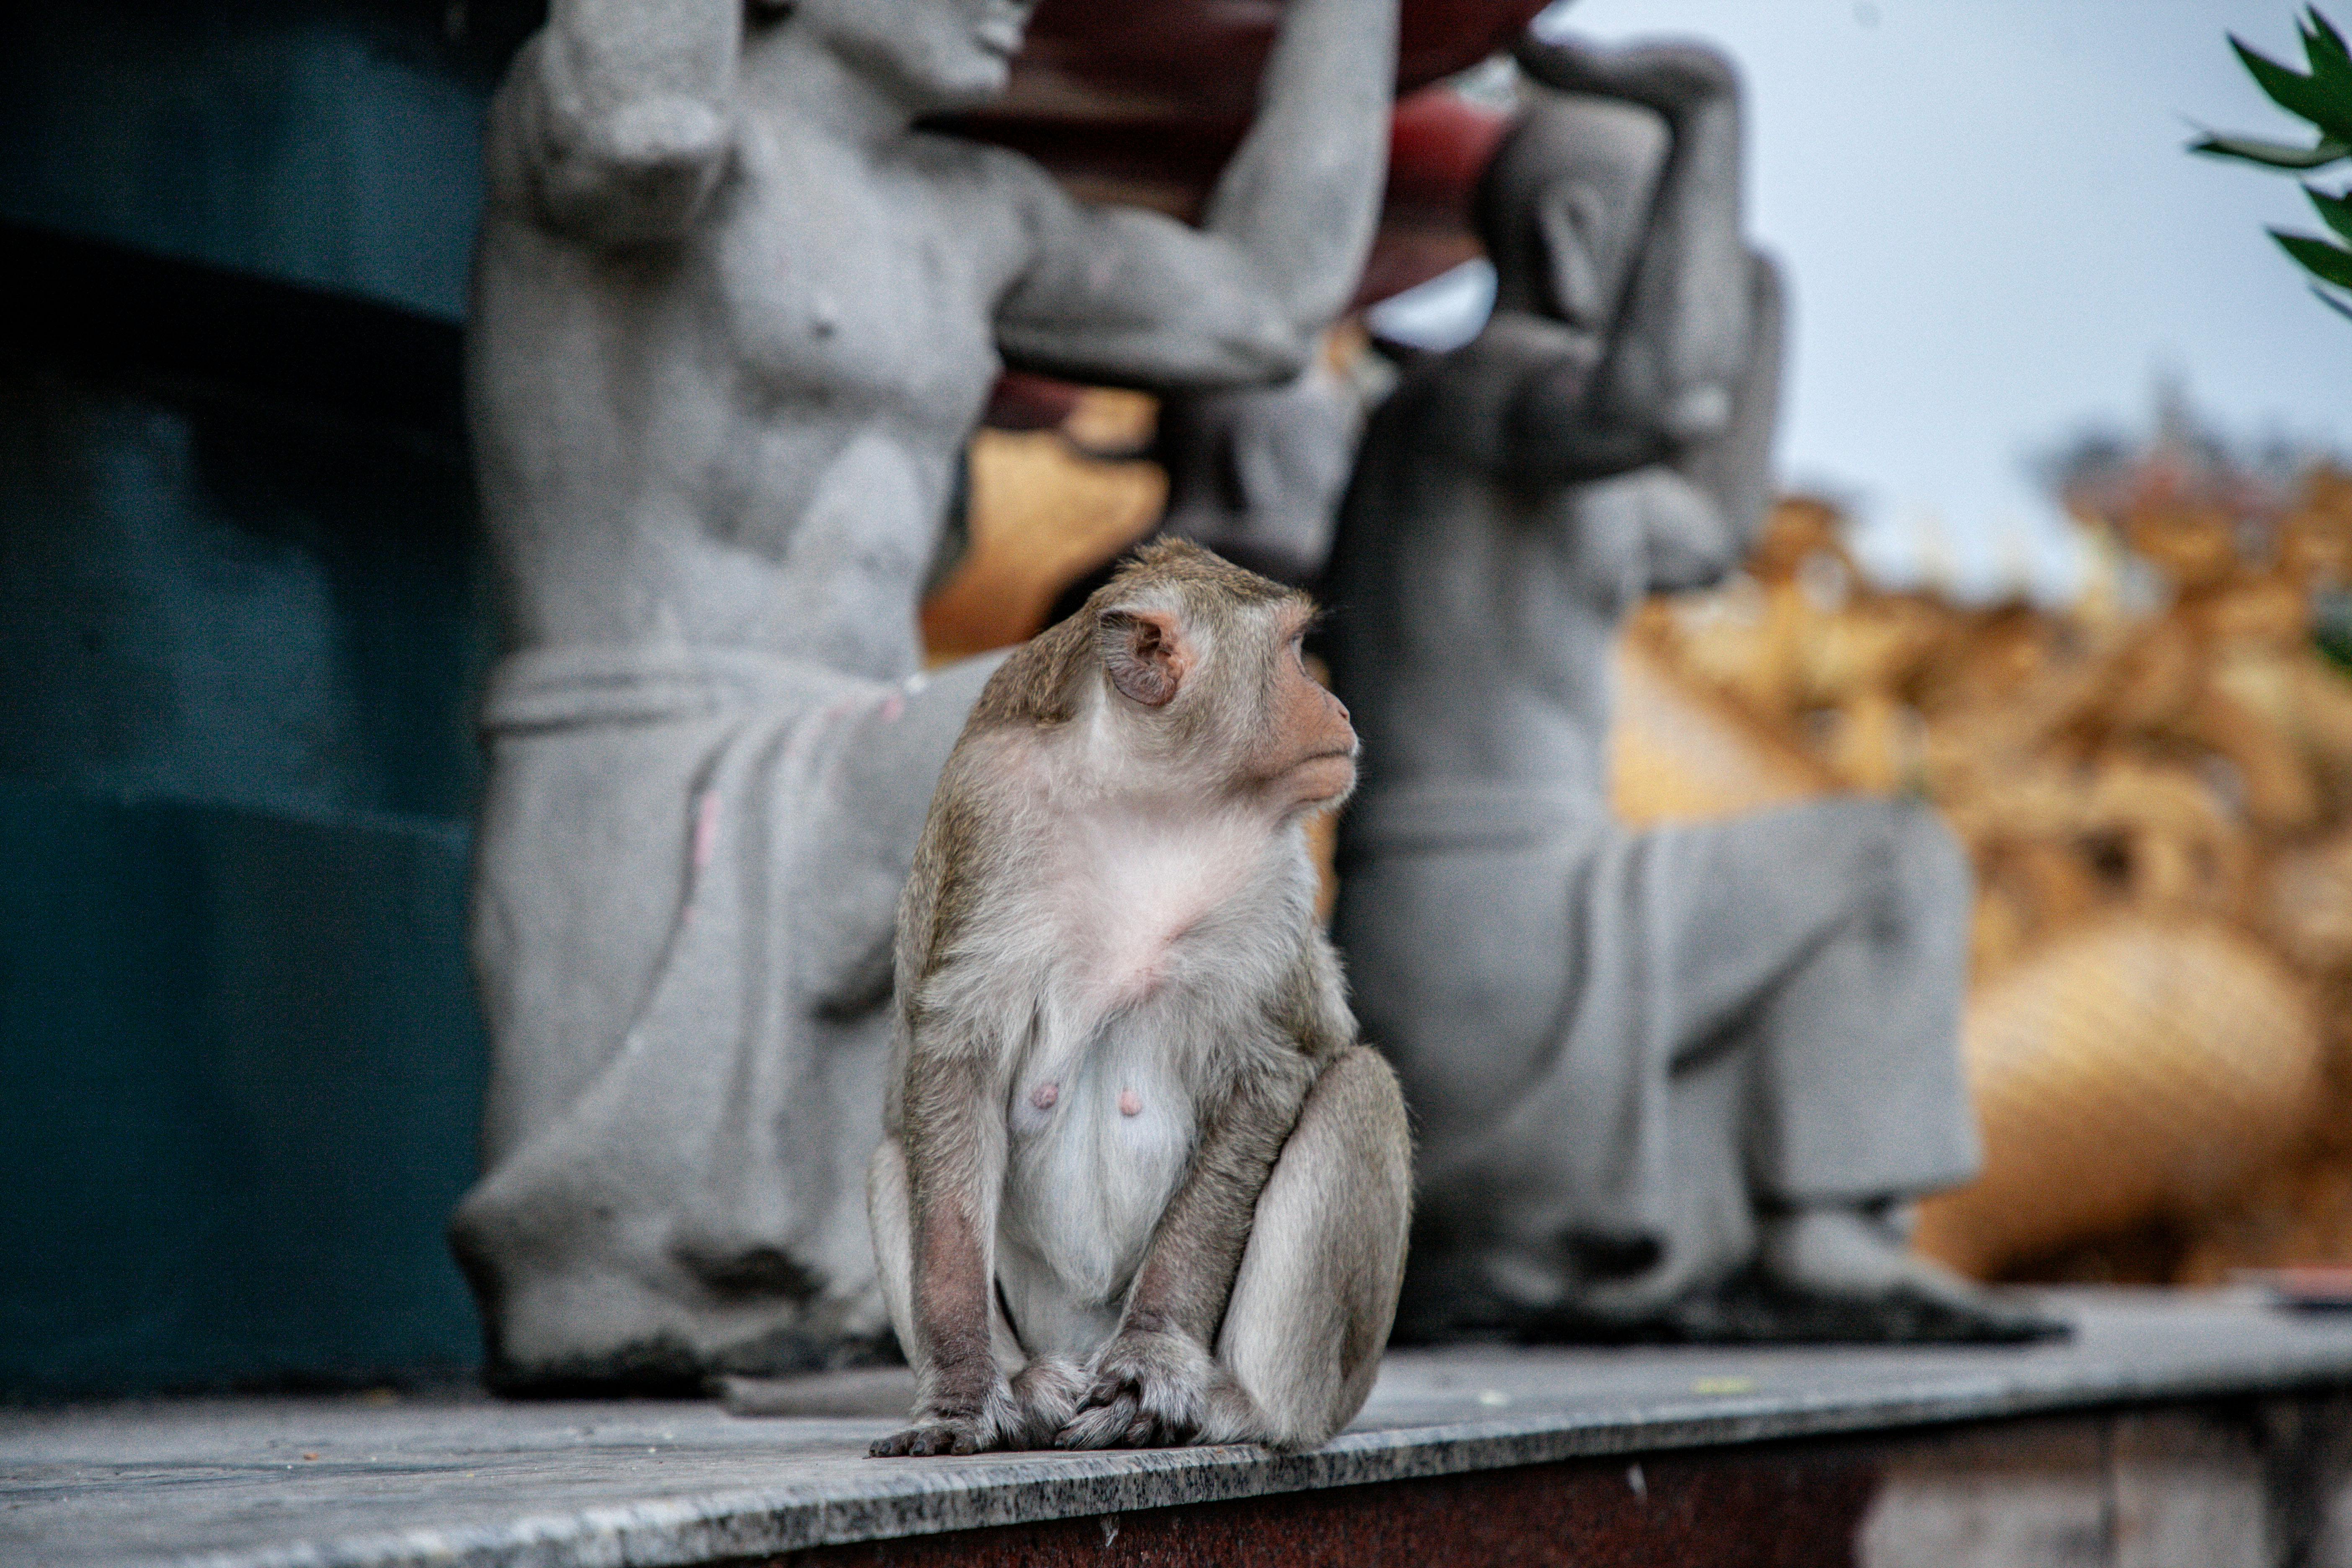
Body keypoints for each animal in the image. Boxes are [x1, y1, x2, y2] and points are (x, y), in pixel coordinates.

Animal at [866, 539, 1413, 1456]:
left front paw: (1154, 1355)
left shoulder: (1272, 875)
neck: (1146, 797)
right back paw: (1028, 1391)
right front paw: (964, 1396)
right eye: (1293, 652)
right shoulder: (986, 809)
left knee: (1358, 1086)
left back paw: (1248, 1408)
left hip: (1337, 1384)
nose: (1339, 708)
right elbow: (951, 1062)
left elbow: (1274, 1067)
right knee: (893, 1154)